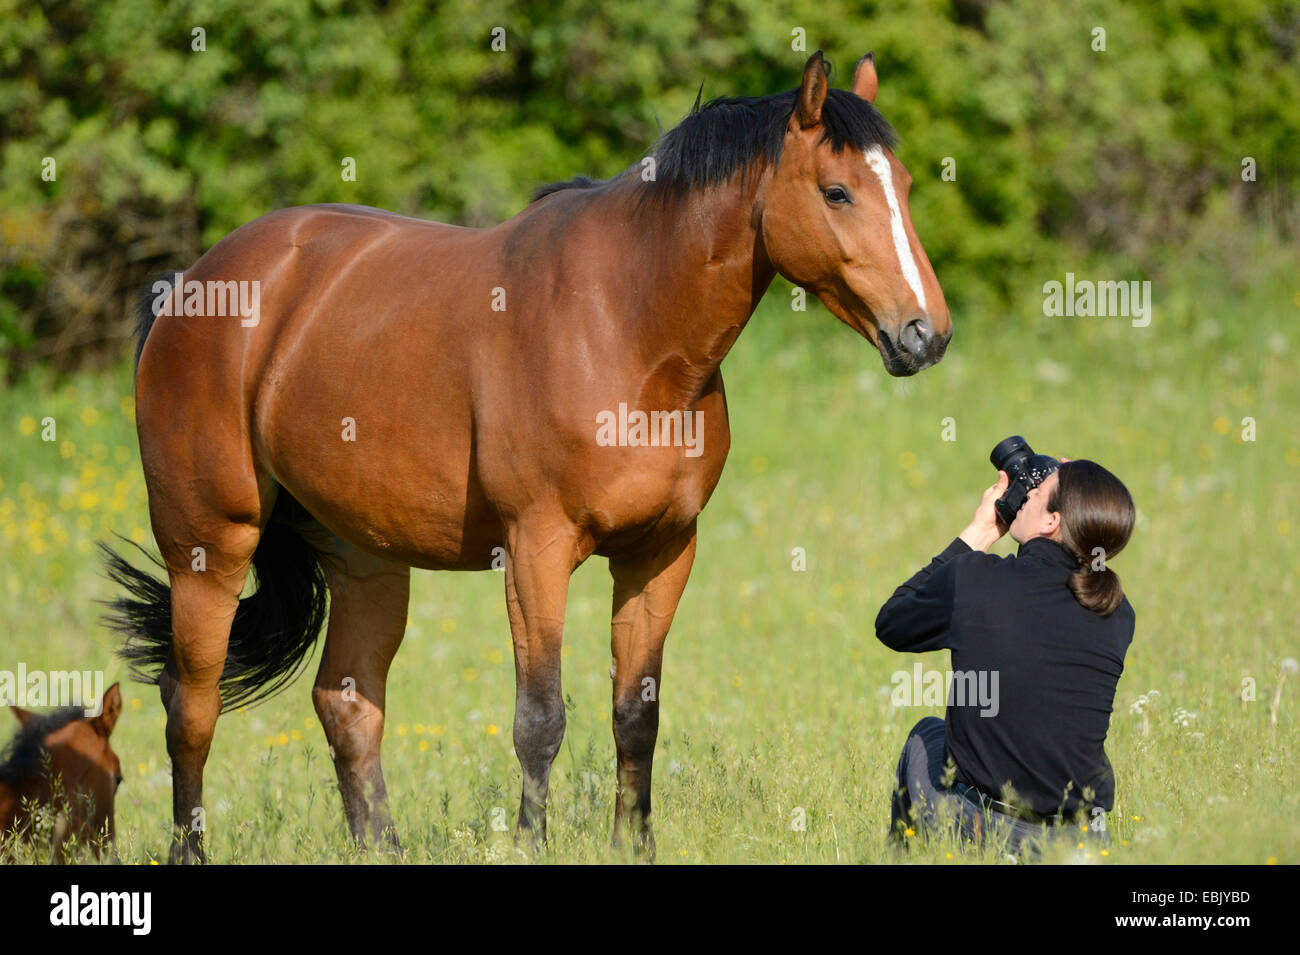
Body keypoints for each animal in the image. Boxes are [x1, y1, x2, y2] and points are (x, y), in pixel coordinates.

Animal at [102, 50, 951, 863]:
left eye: (908, 186)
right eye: (837, 191)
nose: (925, 333)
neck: (625, 326)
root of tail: (191, 285)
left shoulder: (660, 552)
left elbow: (635, 711)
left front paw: (633, 845)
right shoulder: (536, 548)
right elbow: (540, 716)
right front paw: (530, 842)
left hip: (365, 557)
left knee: (347, 701)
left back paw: (382, 847)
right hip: (209, 542)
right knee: (192, 704)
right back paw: (188, 849)